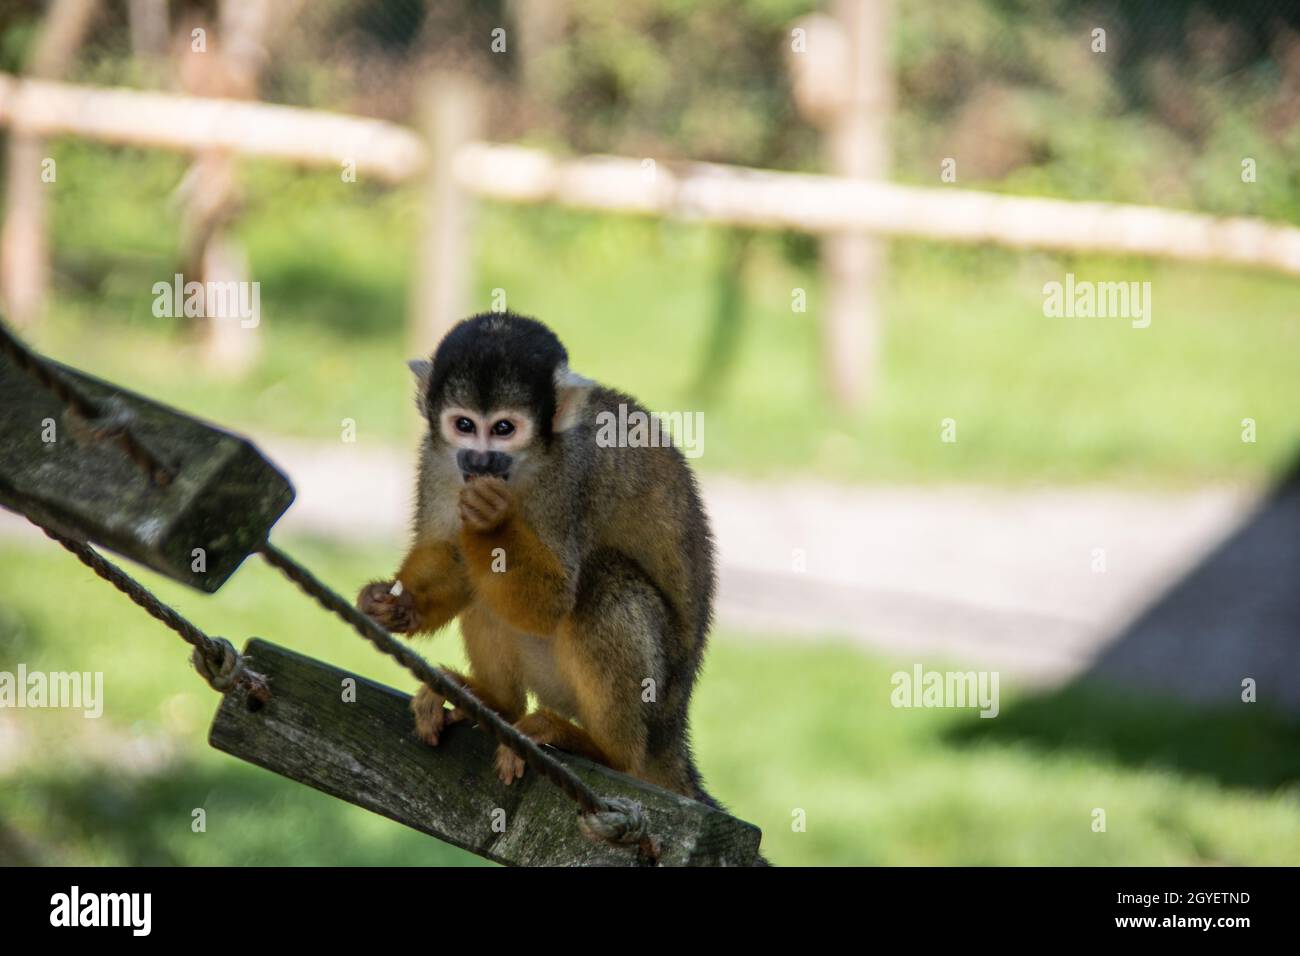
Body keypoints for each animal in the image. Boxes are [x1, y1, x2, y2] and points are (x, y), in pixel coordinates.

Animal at [356, 311, 721, 808]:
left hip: (652, 701)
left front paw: (490, 522)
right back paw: (496, 702)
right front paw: (398, 604)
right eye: (464, 425)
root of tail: (673, 731)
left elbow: (551, 601)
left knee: (602, 581)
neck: (523, 468)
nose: (479, 461)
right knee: (487, 588)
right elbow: (454, 552)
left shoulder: (571, 477)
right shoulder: (435, 457)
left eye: (504, 429)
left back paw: (604, 749)